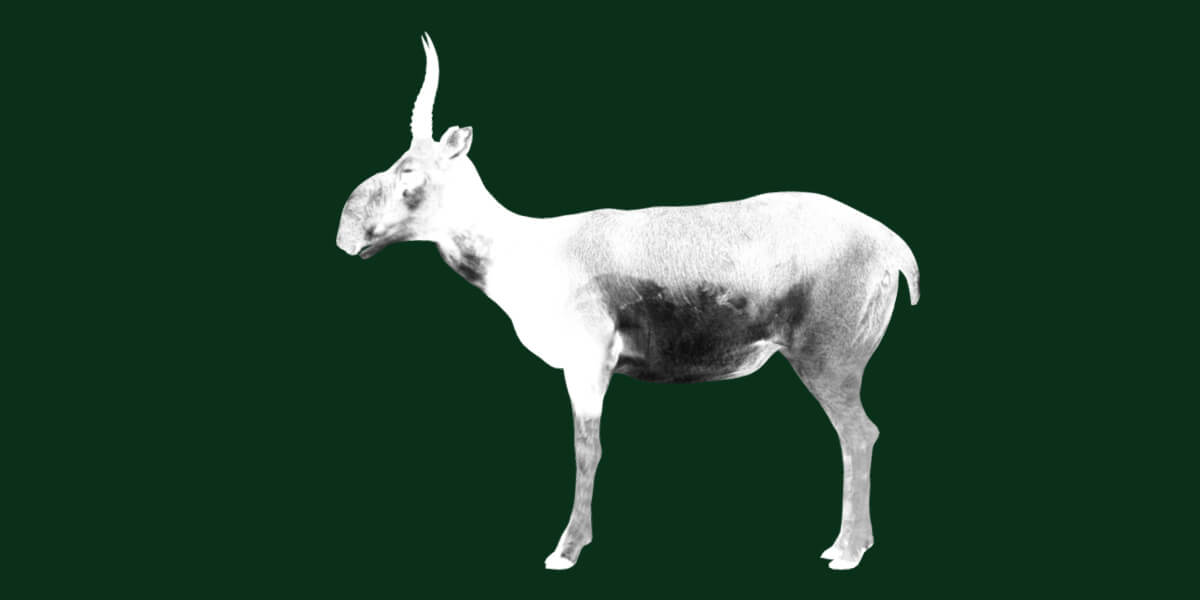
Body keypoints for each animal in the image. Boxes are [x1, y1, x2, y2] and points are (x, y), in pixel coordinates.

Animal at [335, 34, 919, 571]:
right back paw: (852, 544)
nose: (346, 235)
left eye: (409, 171)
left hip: (827, 363)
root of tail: (891, 243)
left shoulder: (588, 362)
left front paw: (566, 549)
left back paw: (846, 551)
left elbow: (586, 448)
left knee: (860, 434)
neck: (532, 249)